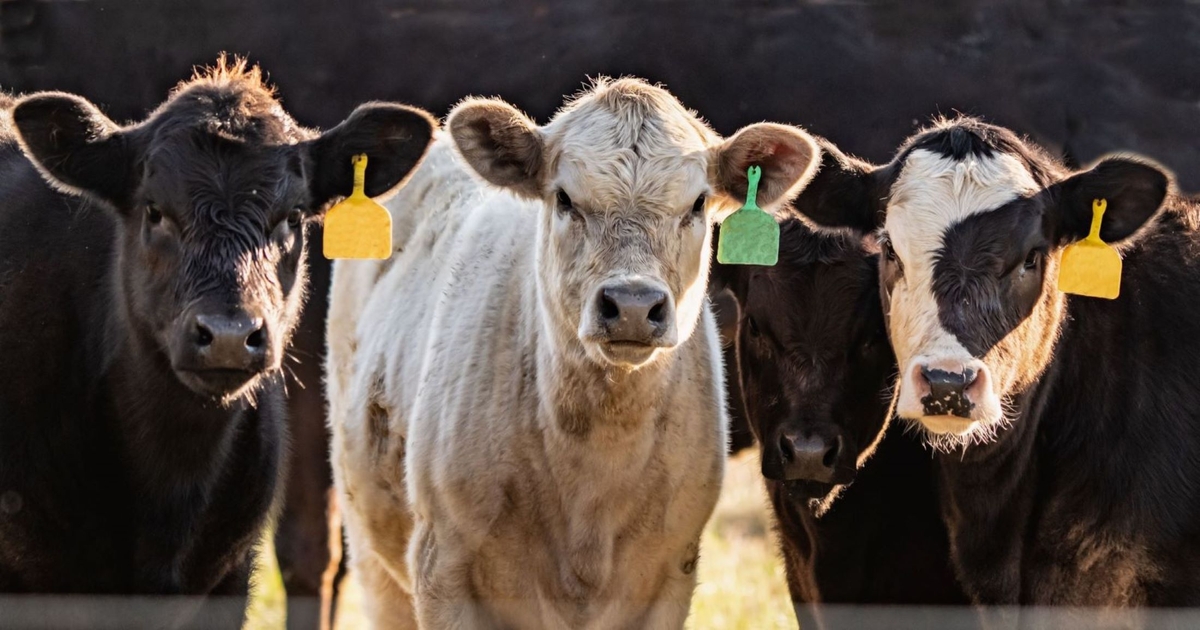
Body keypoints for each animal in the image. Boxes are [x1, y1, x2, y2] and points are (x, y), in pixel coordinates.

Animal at [326, 77, 820, 628]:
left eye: (696, 204)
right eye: (564, 198)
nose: (632, 304)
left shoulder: (670, 574)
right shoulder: (441, 568)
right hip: (373, 554)